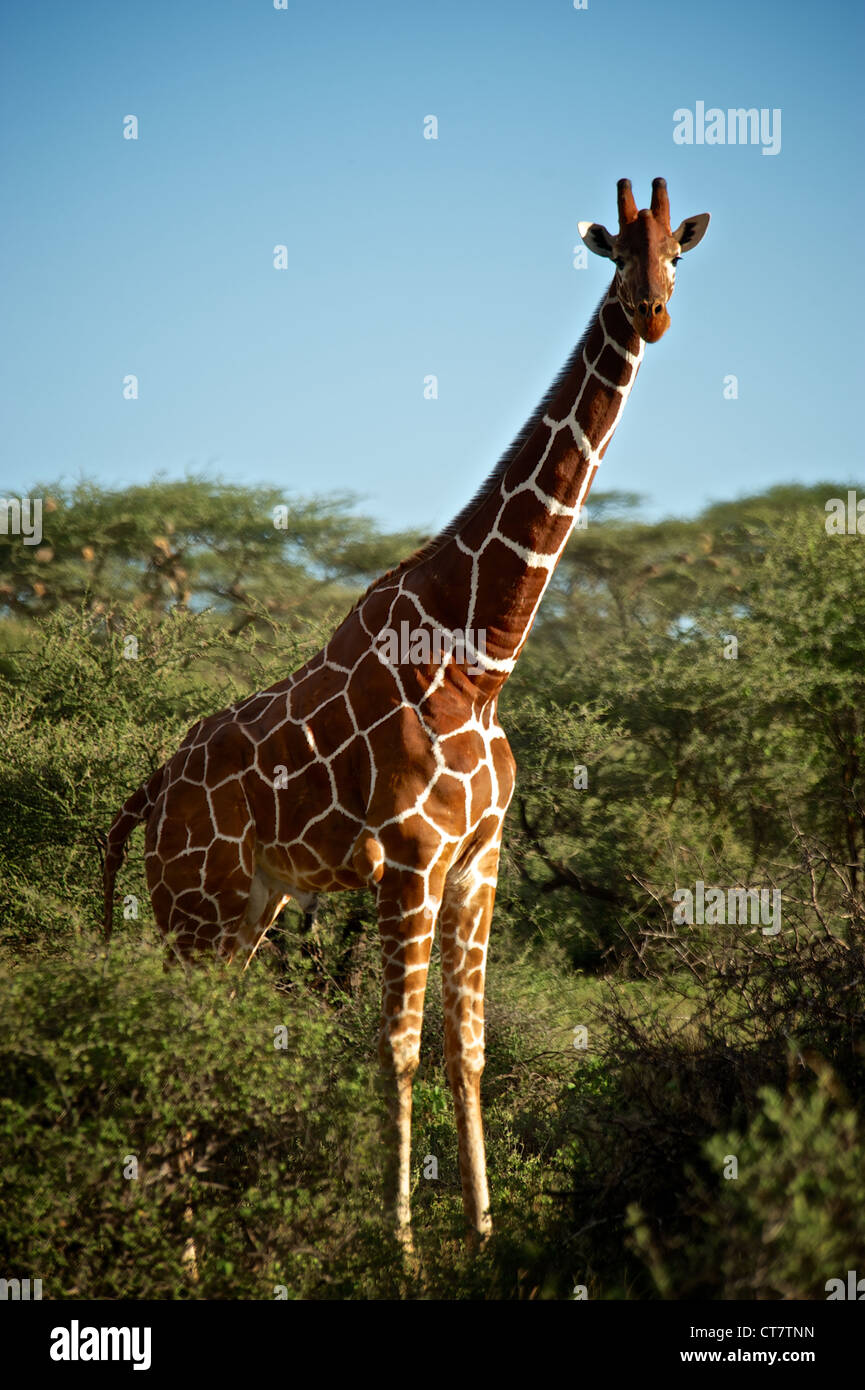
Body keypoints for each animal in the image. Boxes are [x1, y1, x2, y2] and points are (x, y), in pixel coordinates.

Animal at [103, 178, 709, 1245]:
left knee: (202, 1040)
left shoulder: (478, 862)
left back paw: (189, 1248)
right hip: (190, 902)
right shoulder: (411, 859)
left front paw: (481, 1237)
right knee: (170, 1043)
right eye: (613, 255)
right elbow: (397, 1047)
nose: (651, 312)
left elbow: (467, 1050)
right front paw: (400, 1249)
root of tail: (151, 789)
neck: (482, 657)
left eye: (677, 253)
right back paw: (175, 1251)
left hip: (245, 906)